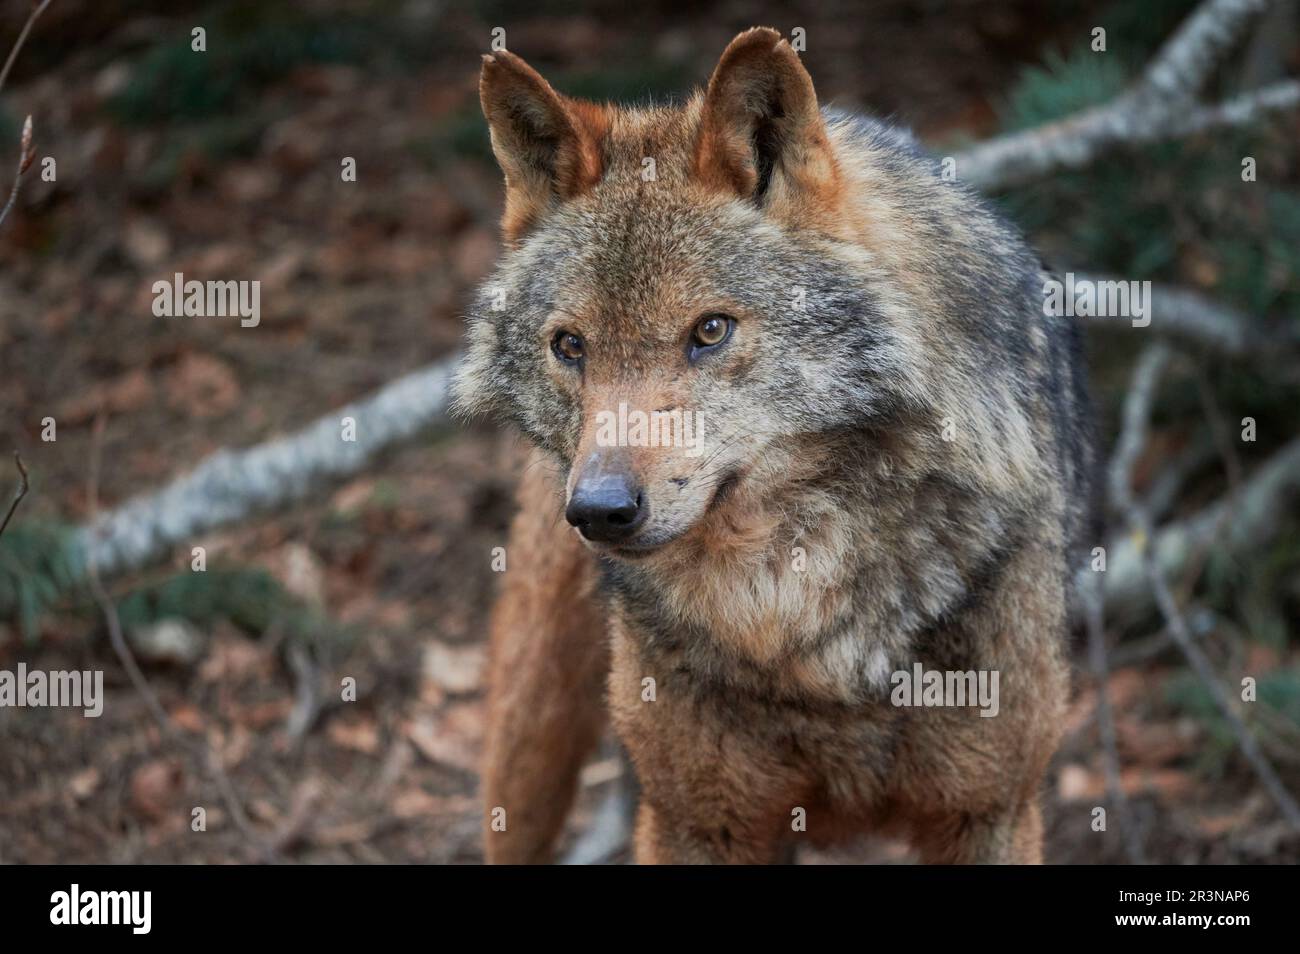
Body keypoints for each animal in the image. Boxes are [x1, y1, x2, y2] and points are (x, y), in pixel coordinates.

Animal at [452, 27, 1095, 864]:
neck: (794, 620)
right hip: (531, 739)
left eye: (710, 331)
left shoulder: (990, 809)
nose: (600, 510)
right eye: (570, 346)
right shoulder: (698, 820)